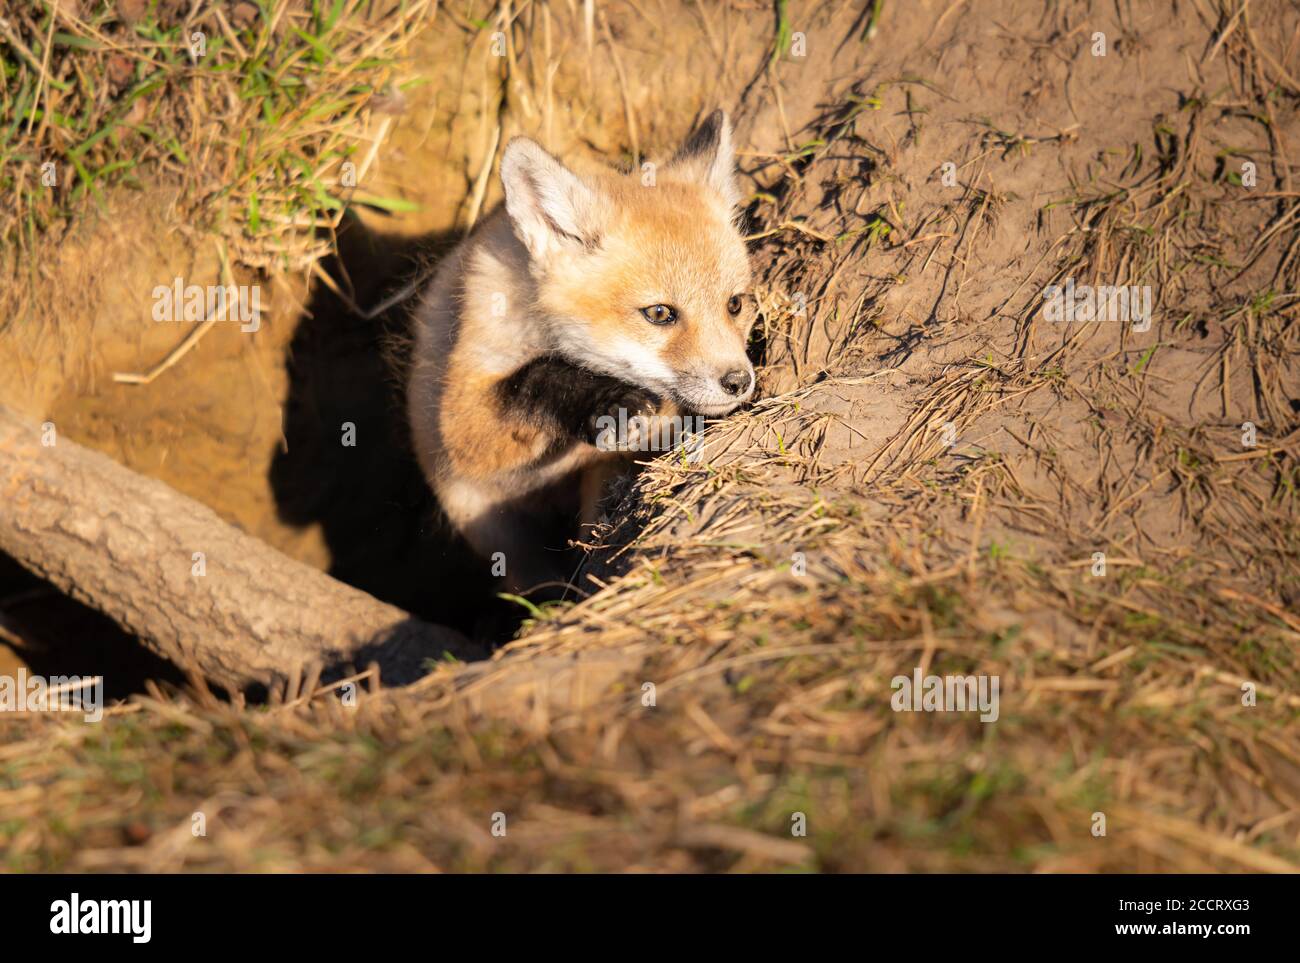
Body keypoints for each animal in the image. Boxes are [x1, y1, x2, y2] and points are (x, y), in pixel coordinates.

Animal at [406, 109, 757, 596]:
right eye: (660, 313)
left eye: (735, 304)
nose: (738, 382)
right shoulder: (460, 423)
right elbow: (534, 377)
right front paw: (607, 401)